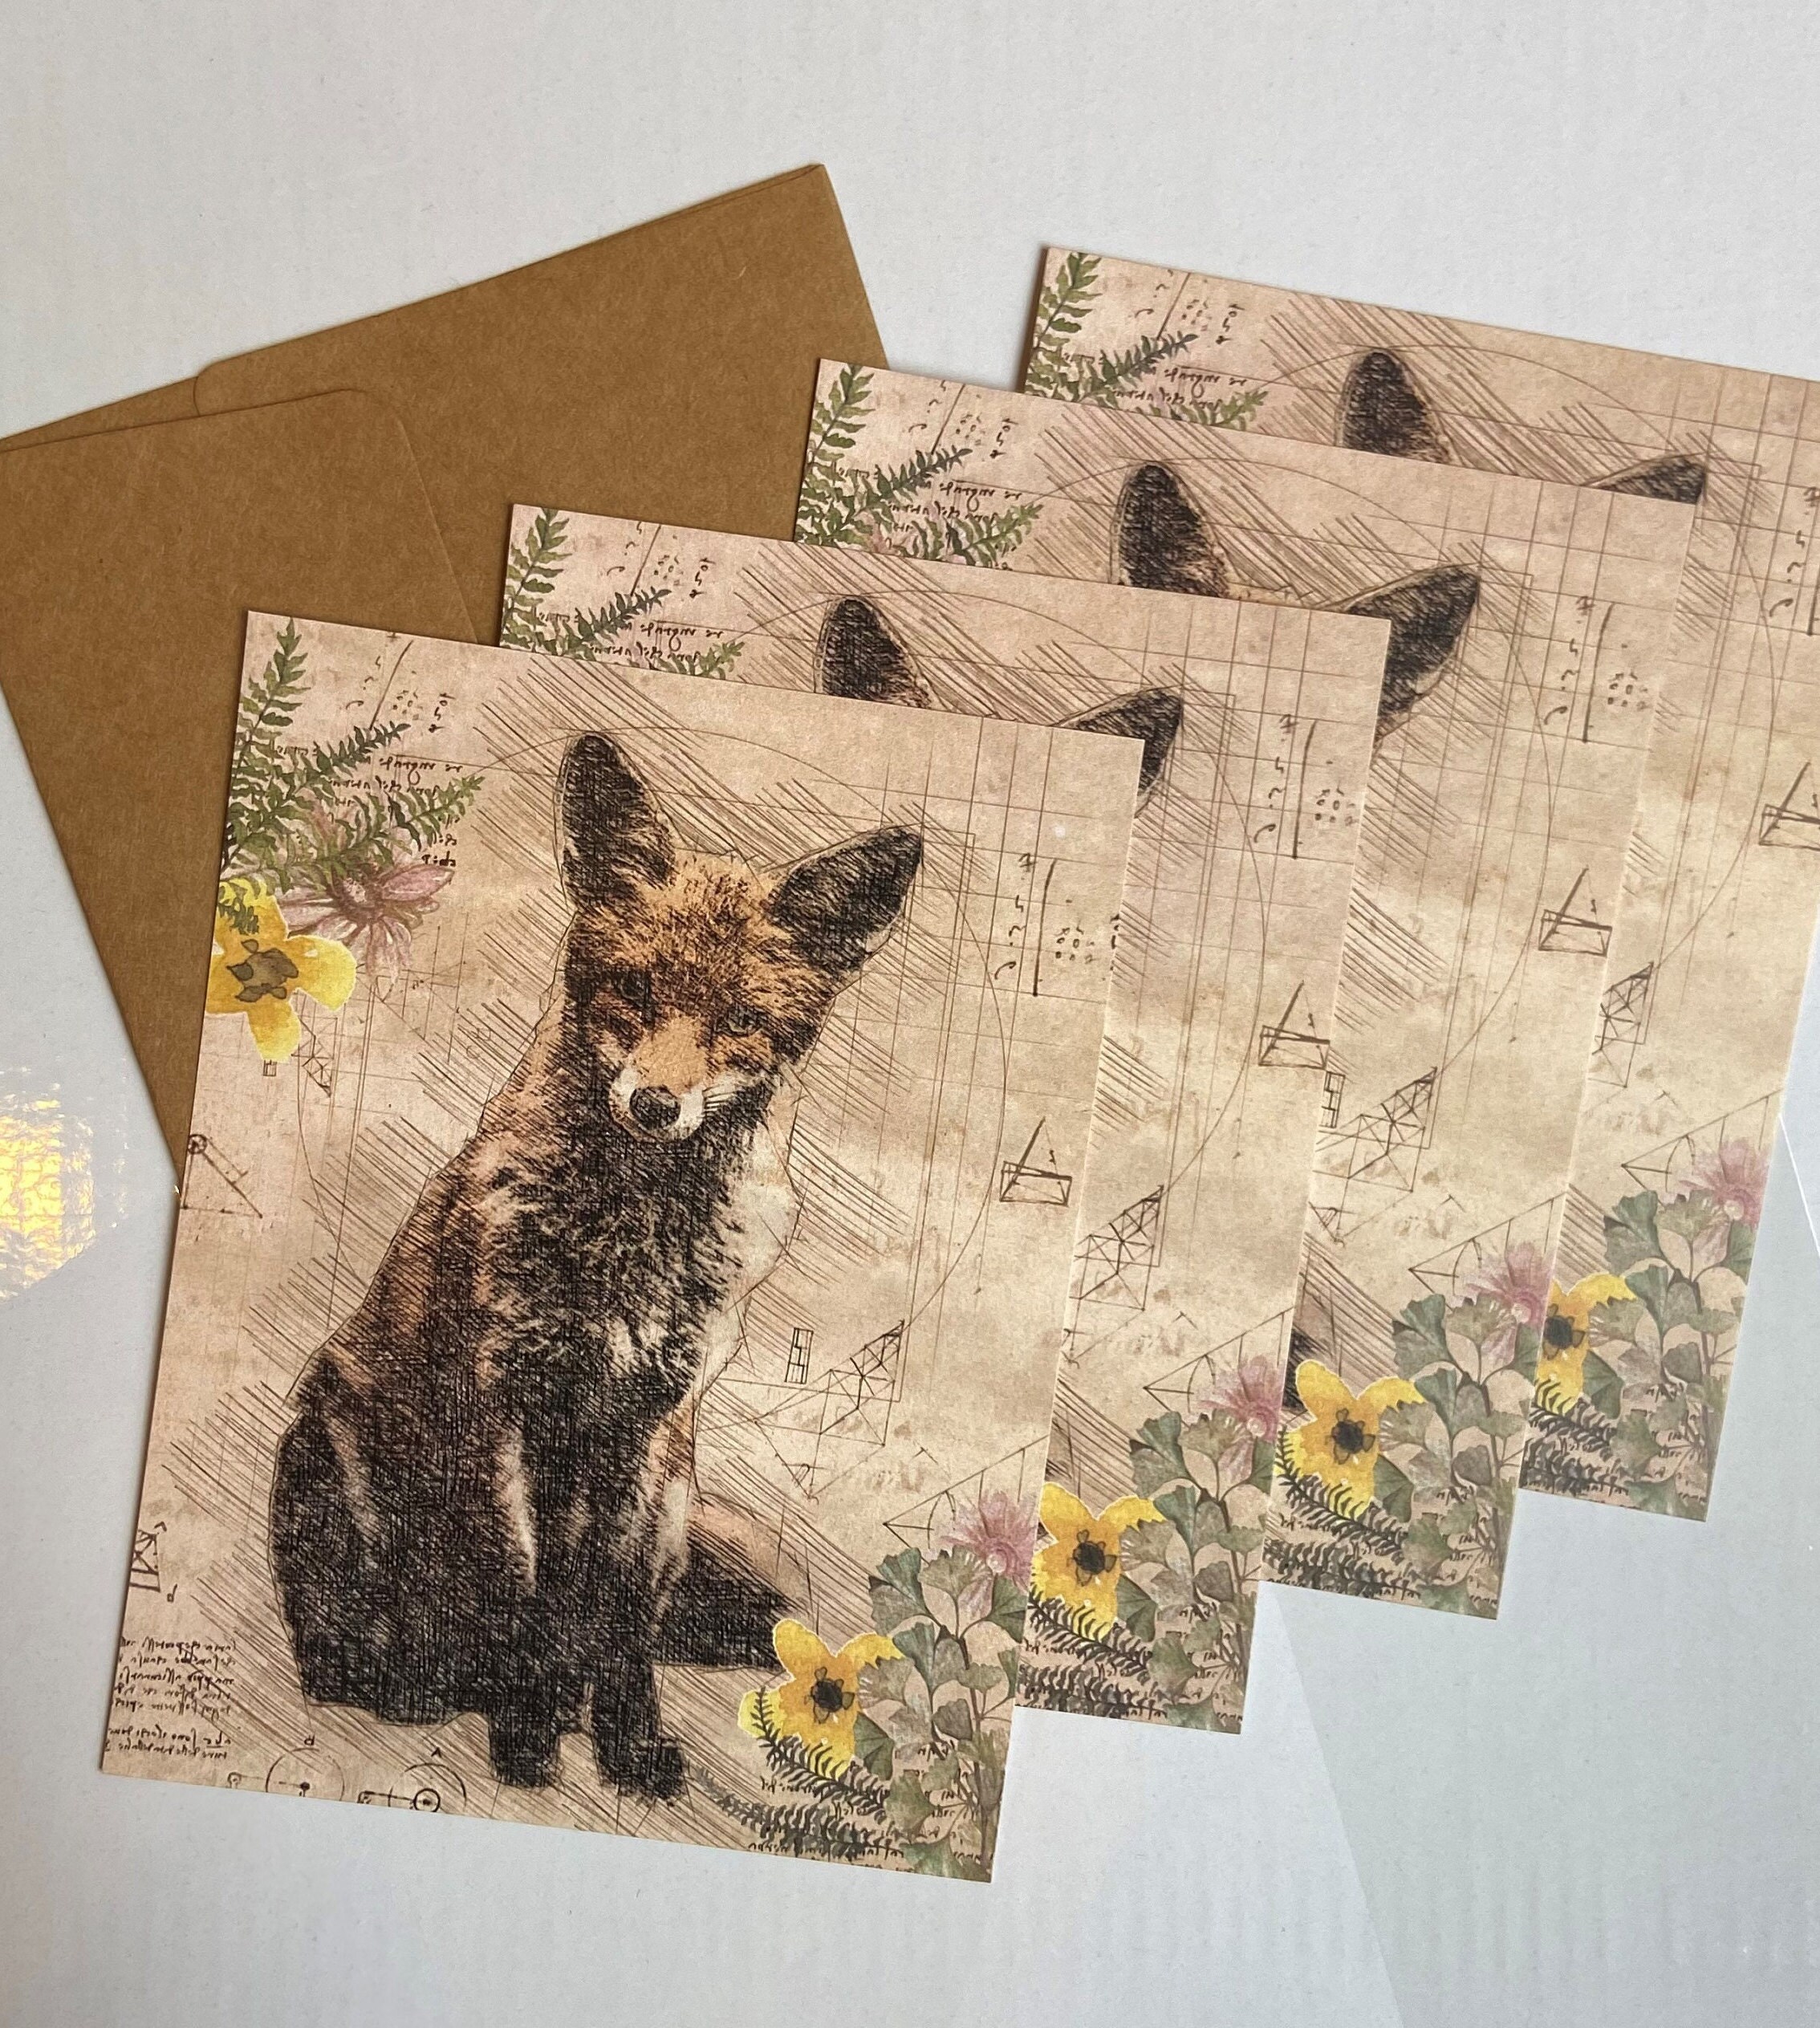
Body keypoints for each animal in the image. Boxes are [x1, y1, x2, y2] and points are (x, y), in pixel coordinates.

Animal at [271, 731, 921, 1798]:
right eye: (636, 991)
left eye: (738, 1019)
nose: (656, 1103)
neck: (631, 1244)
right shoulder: (498, 1405)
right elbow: (518, 1586)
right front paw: (529, 1742)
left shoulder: (650, 1425)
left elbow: (613, 1621)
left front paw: (627, 1746)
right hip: (337, 1450)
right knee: (377, 1641)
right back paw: (417, 1685)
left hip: (679, 1500)